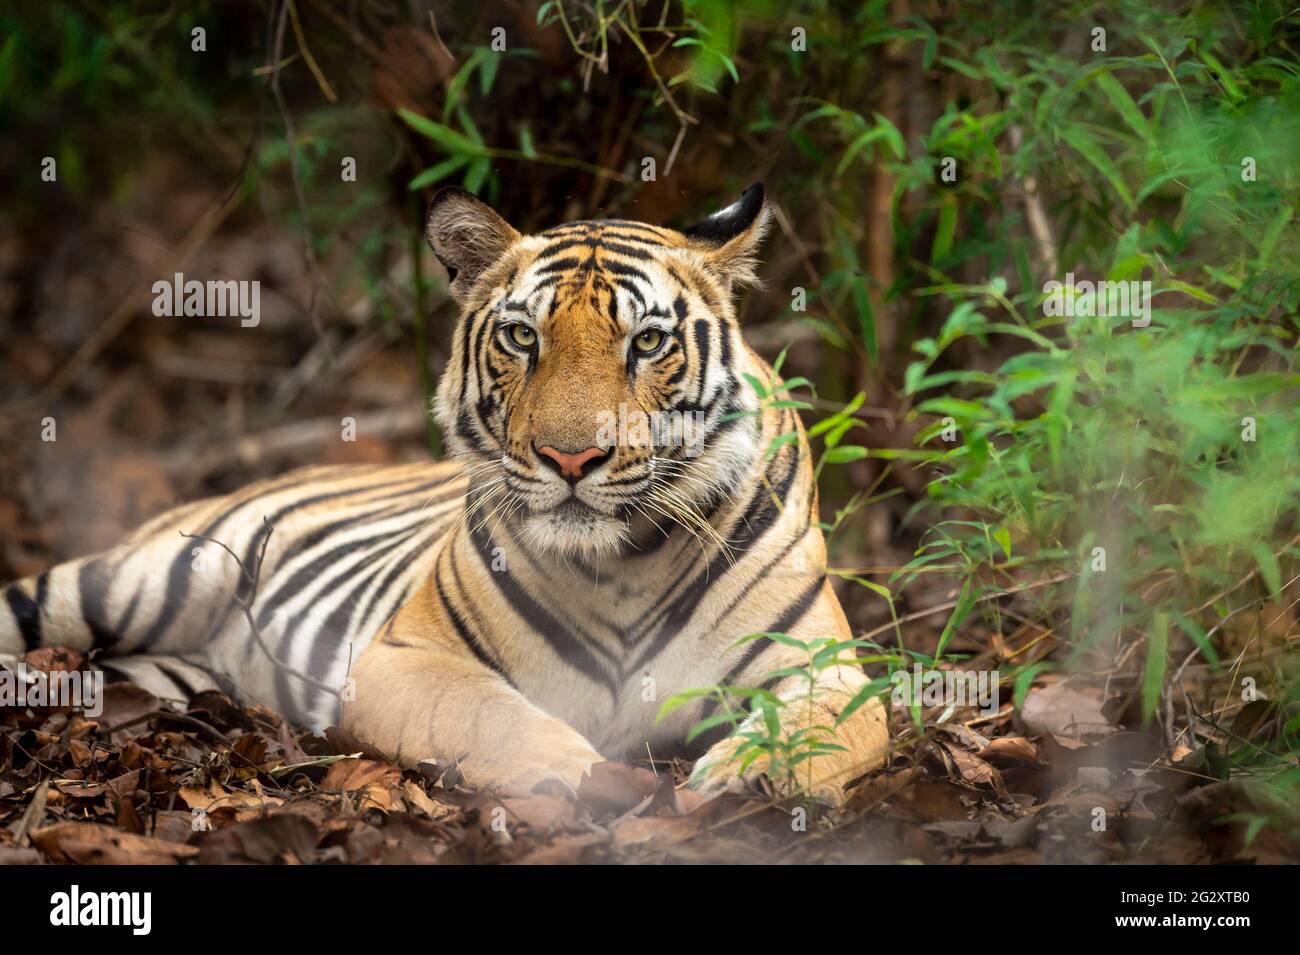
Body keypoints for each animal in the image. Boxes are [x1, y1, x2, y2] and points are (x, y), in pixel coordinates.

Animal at [0, 184, 888, 801]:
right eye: (523, 336)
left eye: (647, 343)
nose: (571, 457)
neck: (622, 566)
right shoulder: (401, 659)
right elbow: (489, 713)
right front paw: (579, 773)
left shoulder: (826, 664)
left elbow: (834, 723)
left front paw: (753, 771)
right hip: (126, 579)